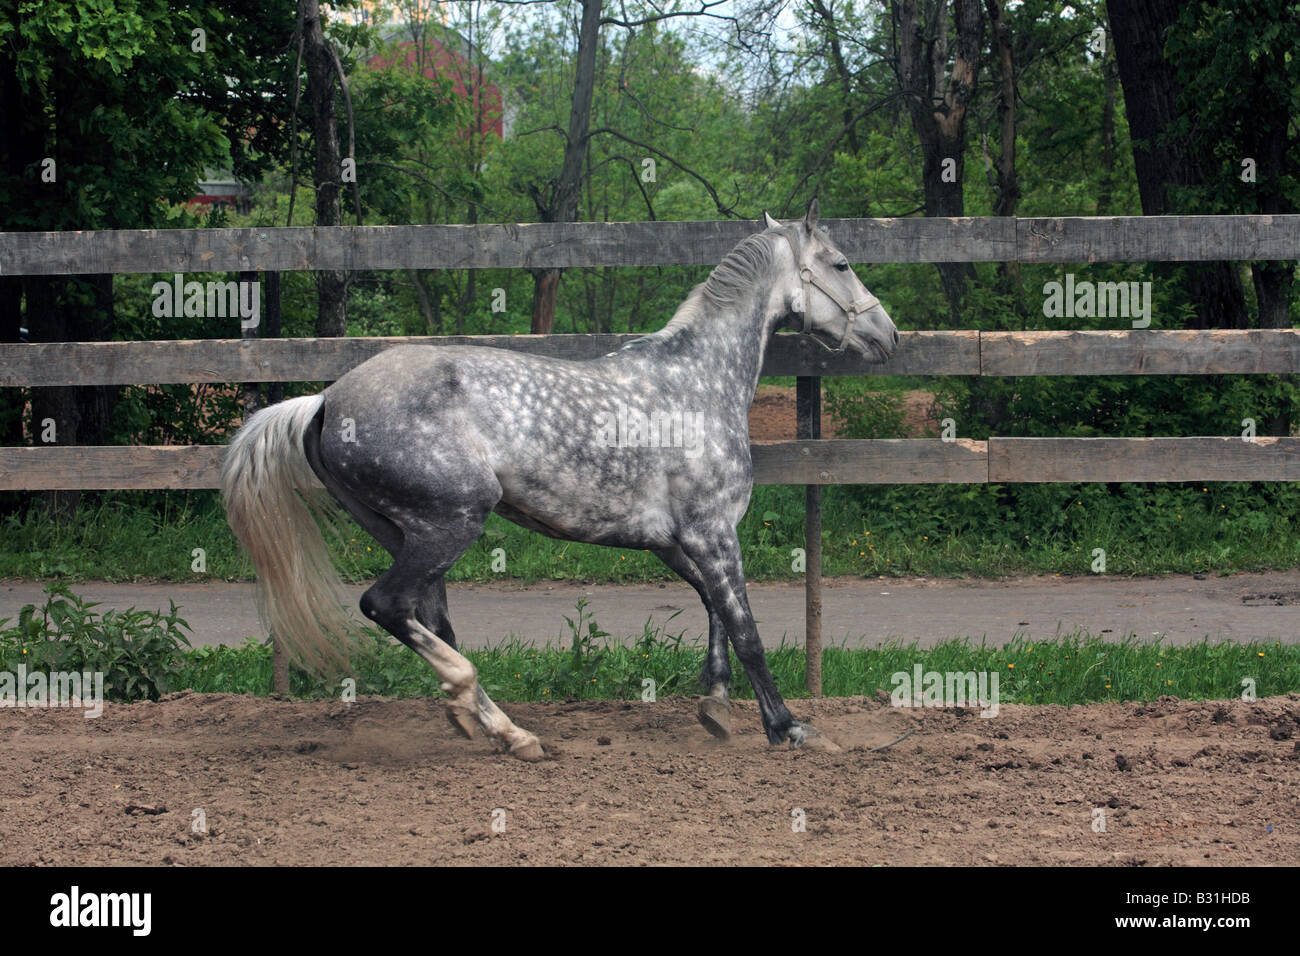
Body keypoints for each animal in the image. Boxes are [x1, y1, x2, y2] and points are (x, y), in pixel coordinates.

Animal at [221, 199, 898, 761]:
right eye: (840, 263)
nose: (887, 335)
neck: (698, 383)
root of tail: (325, 401)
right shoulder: (711, 532)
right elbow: (746, 628)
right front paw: (787, 728)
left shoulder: (674, 541)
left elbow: (714, 609)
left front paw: (716, 710)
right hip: (452, 522)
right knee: (385, 606)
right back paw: (492, 716)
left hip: (408, 533)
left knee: (429, 620)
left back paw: (491, 725)